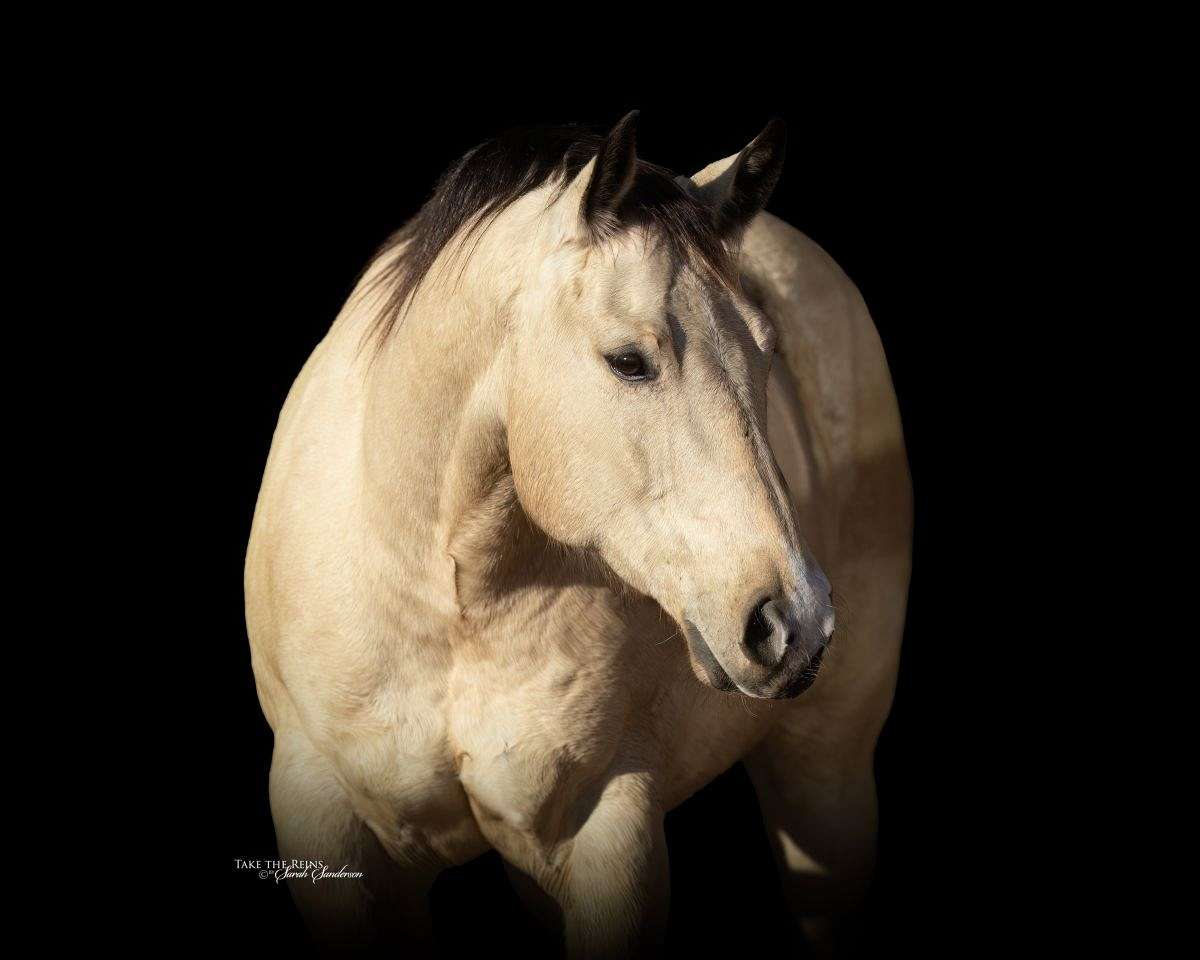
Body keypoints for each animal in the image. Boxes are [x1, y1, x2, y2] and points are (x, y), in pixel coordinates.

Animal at [245, 111, 912, 957]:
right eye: (627, 361)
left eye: (768, 351)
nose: (793, 622)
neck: (445, 604)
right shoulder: (331, 829)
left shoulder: (609, 829)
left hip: (827, 777)